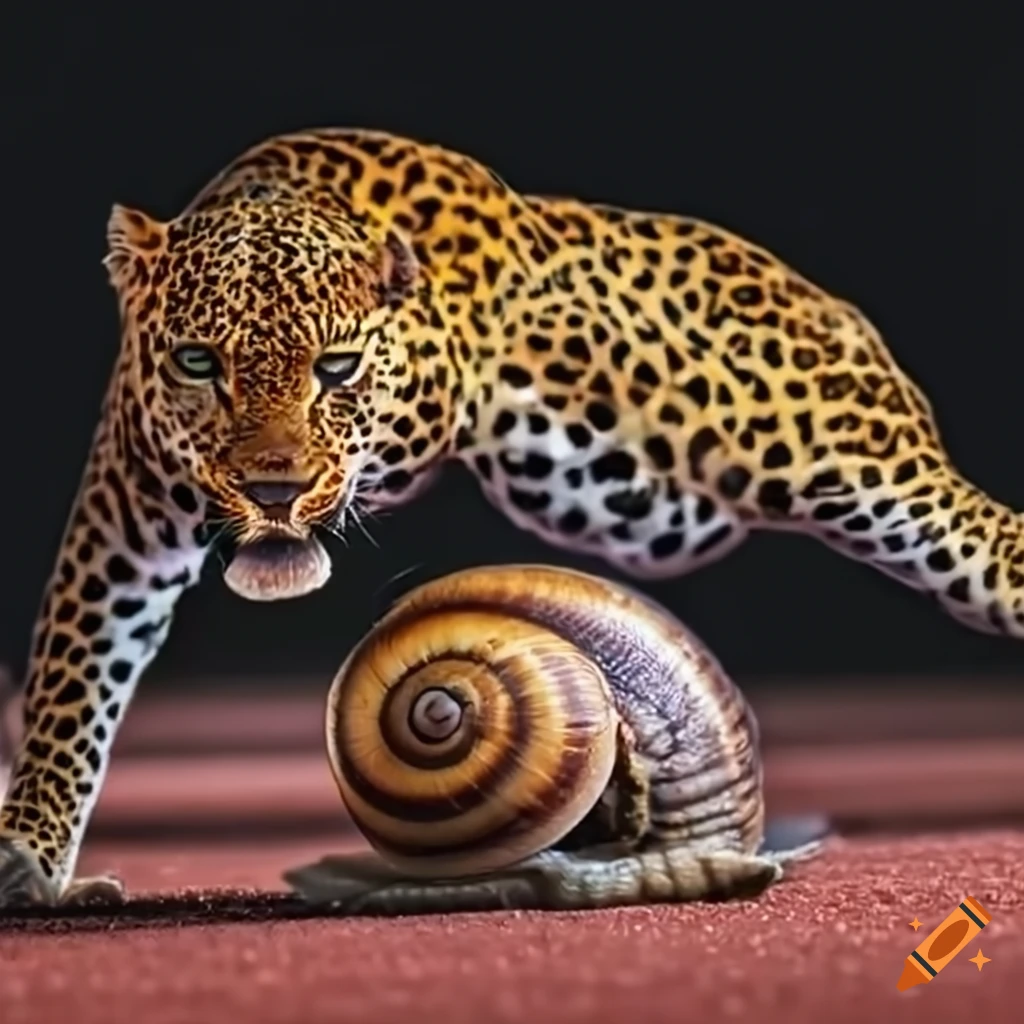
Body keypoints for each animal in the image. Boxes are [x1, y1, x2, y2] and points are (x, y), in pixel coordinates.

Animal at [0, 127, 1020, 909]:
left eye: (335, 368)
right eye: (198, 363)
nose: (275, 491)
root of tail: (839, 317)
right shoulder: (126, 523)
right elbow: (71, 691)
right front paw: (32, 866)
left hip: (859, 475)